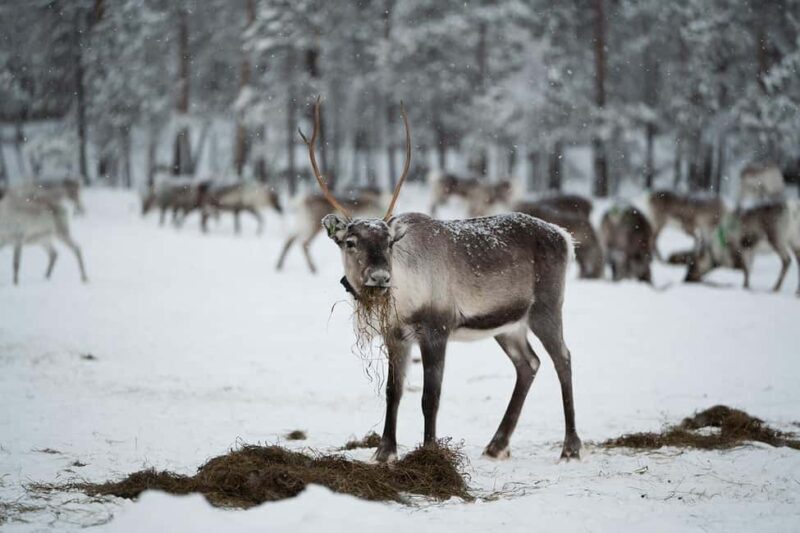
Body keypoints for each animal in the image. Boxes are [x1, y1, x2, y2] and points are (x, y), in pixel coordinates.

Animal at [304, 97, 581, 462]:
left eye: (389, 243)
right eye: (351, 242)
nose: (380, 277)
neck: (406, 297)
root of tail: (565, 237)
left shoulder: (437, 328)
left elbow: (430, 397)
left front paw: (430, 451)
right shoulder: (396, 335)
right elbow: (393, 391)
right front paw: (384, 451)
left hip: (547, 307)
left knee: (563, 358)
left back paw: (571, 446)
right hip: (509, 324)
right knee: (529, 363)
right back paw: (497, 444)